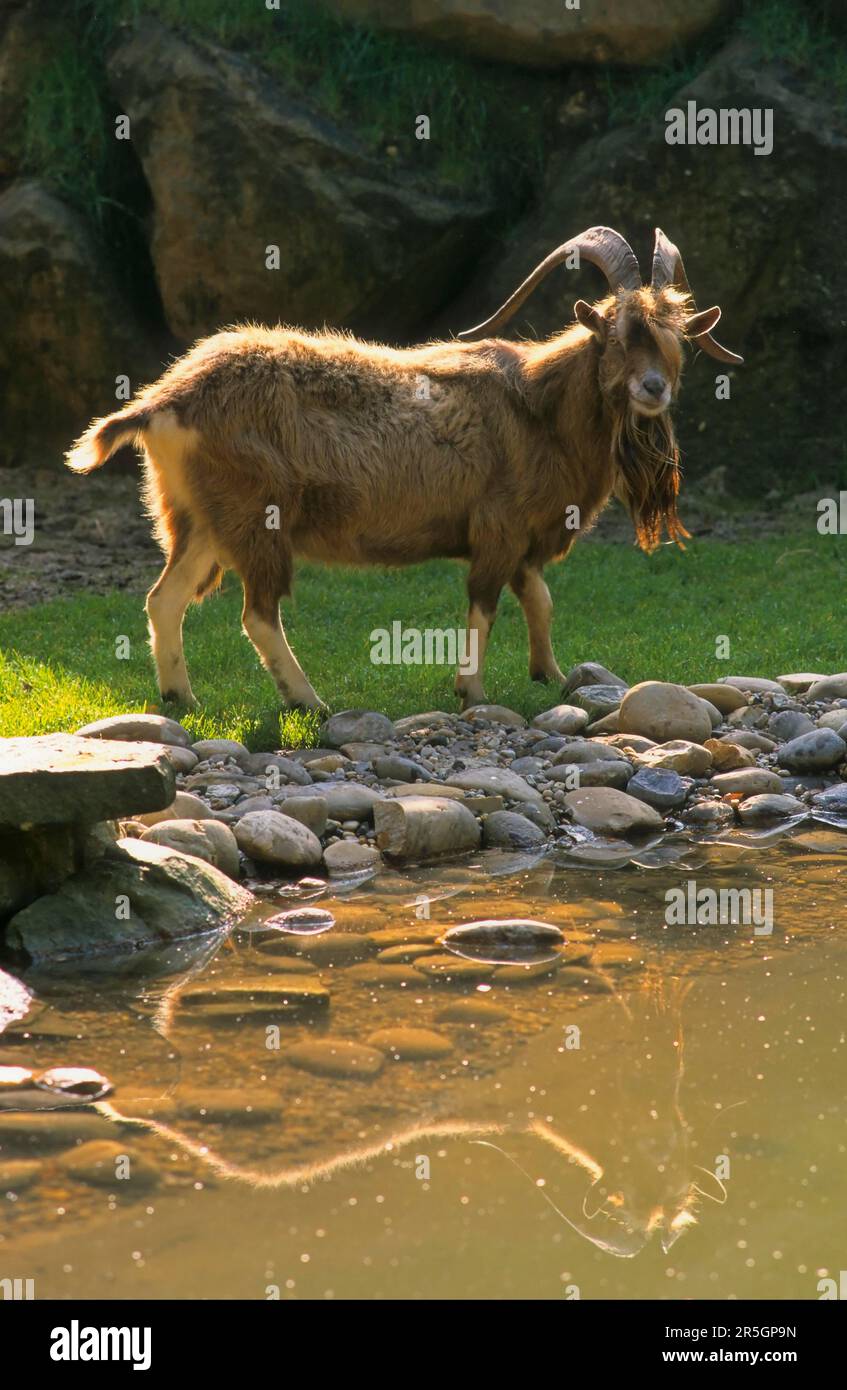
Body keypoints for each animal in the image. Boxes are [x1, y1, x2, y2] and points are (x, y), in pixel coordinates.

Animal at [65, 227, 742, 711]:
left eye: (676, 342)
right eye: (619, 335)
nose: (653, 389)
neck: (538, 408)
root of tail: (167, 400)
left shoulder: (521, 537)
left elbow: (540, 598)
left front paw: (548, 673)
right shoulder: (498, 528)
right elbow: (484, 605)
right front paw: (471, 691)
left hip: (201, 521)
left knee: (165, 599)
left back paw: (180, 695)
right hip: (257, 520)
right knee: (257, 613)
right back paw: (308, 701)